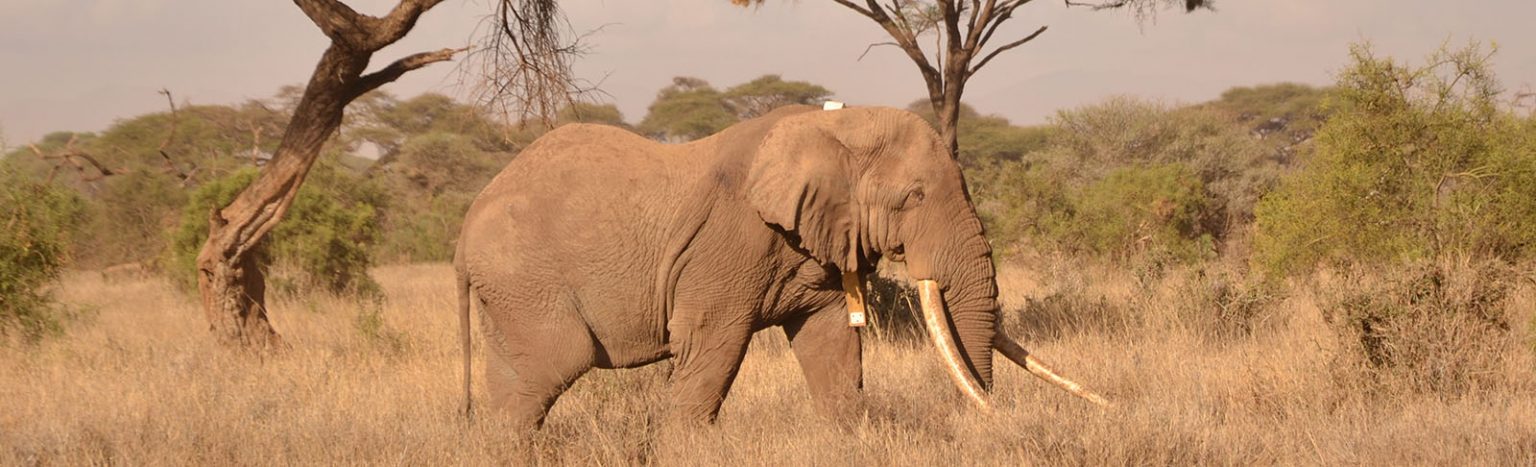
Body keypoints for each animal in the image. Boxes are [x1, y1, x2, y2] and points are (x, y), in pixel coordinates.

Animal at [454, 104, 1104, 430]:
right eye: (914, 197)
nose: (997, 423)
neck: (835, 122)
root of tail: (465, 225)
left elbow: (832, 345)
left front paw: (849, 439)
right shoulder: (723, 249)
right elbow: (711, 350)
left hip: (510, 292)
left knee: (516, 382)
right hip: (525, 282)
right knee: (547, 371)